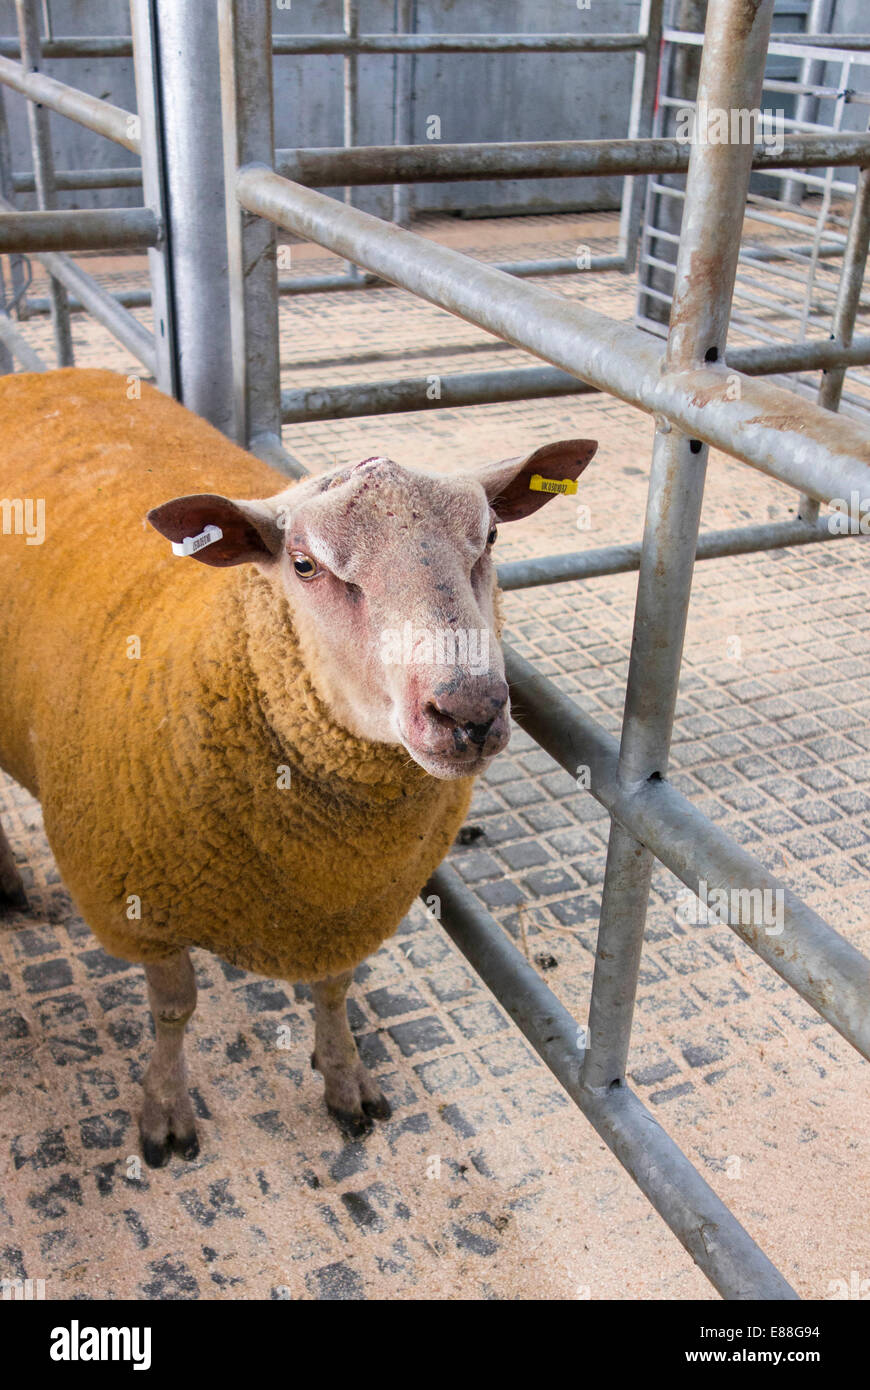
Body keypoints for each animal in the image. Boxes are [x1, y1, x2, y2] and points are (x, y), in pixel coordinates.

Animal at [0, 367, 597, 1164]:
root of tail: (50, 374)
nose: (468, 710)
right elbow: (173, 1011)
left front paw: (345, 1080)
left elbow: (335, 989)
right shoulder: (139, 907)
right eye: (305, 565)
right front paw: (165, 1110)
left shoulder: (347, 908)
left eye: (492, 537)